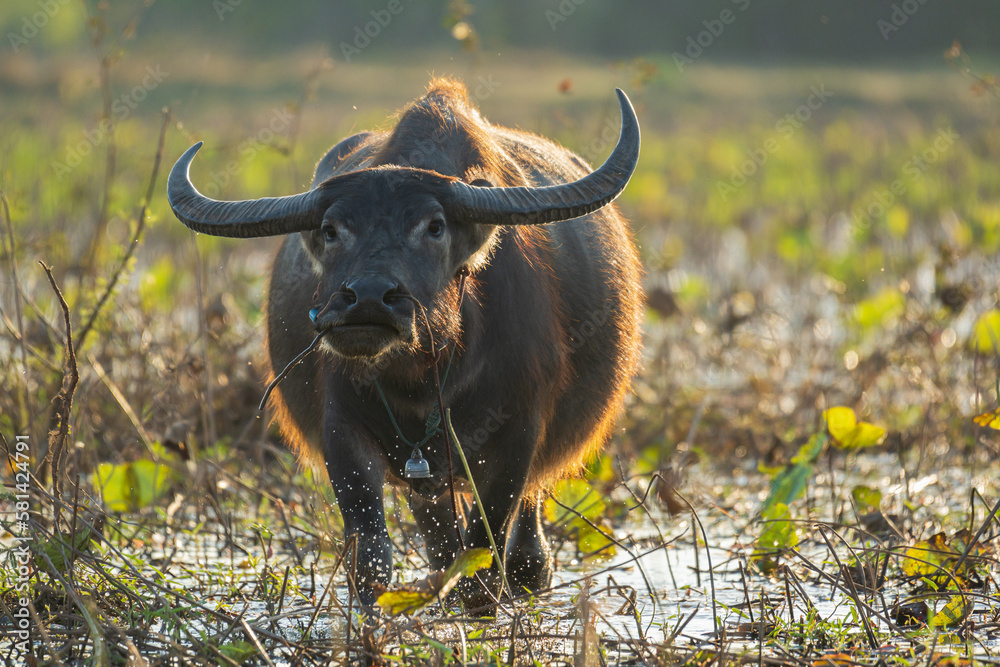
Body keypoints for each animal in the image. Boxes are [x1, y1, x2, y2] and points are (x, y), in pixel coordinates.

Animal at [167, 79, 642, 611]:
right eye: (331, 229)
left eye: (434, 226)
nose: (369, 299)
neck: (420, 380)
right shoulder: (342, 429)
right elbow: (371, 553)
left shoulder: (519, 431)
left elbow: (484, 549)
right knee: (439, 539)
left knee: (518, 532)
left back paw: (529, 573)